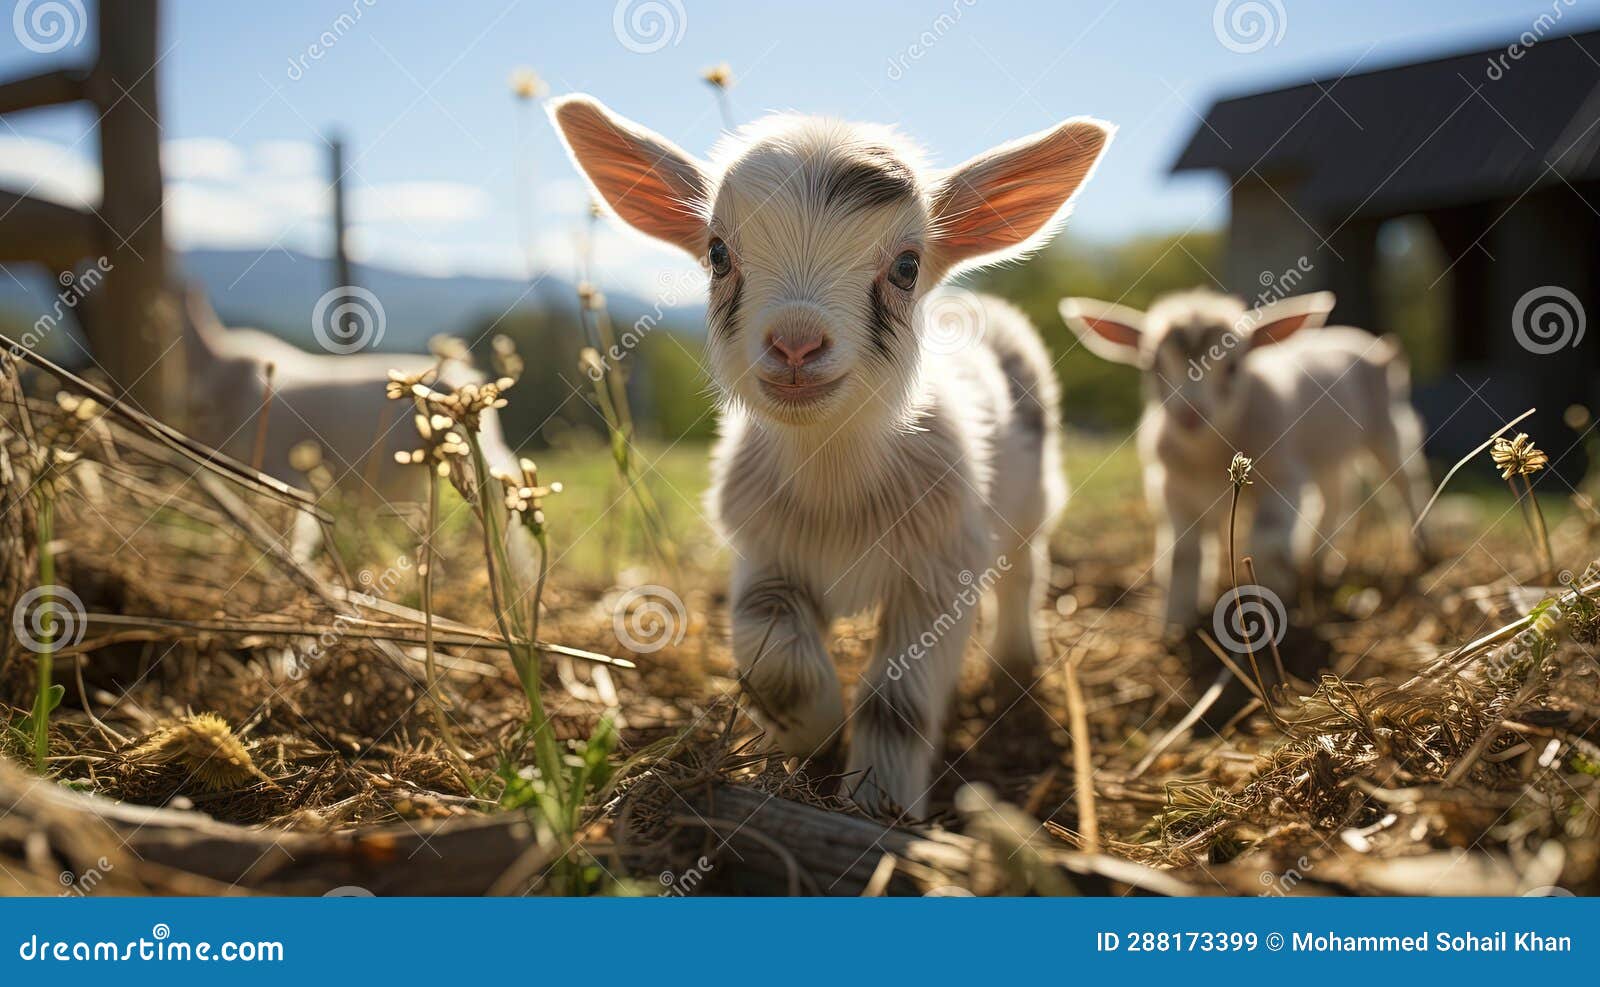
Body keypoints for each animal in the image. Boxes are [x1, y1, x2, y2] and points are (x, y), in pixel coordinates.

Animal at [551, 96, 1112, 814]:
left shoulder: (937, 571)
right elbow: (777, 659)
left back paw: (1015, 663)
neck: (833, 476)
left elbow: (896, 703)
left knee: (1024, 568)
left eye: (906, 265)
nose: (795, 343)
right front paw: (807, 735)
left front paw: (878, 803)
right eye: (717, 253)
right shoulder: (764, 556)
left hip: (1033, 497)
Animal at [1060, 289, 1432, 634]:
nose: (1189, 415)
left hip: (1387, 426)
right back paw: (1317, 561)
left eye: (1233, 366)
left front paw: (1270, 605)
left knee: (1406, 482)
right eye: (1153, 365)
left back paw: (1421, 549)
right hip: (1328, 451)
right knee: (1338, 494)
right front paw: (1176, 623)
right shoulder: (1174, 492)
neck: (1207, 453)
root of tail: (1364, 339)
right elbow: (1182, 556)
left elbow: (1267, 543)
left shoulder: (1282, 478)